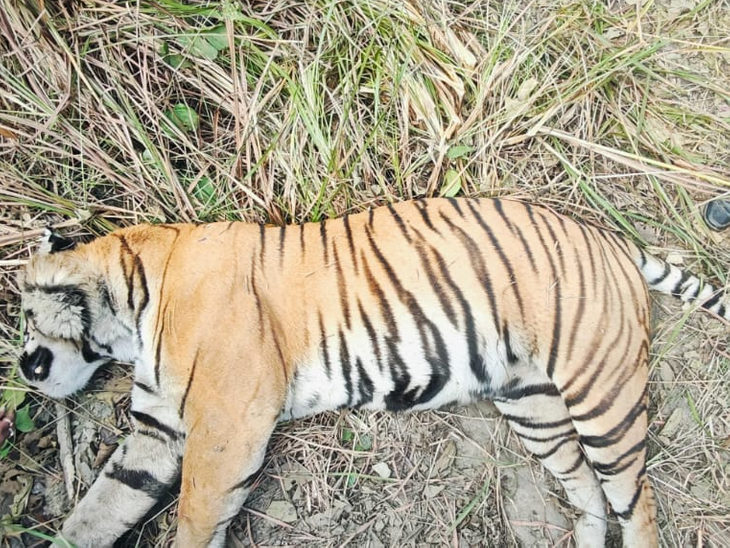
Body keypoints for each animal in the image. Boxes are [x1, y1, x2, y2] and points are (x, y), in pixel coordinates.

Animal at [17, 197, 729, 548]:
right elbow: (99, 510)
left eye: (22, 314)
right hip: (533, 404)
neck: (130, 297)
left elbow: (194, 515)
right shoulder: (156, 430)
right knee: (587, 491)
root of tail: (612, 238)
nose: (24, 368)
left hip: (603, 400)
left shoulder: (226, 422)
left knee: (637, 507)